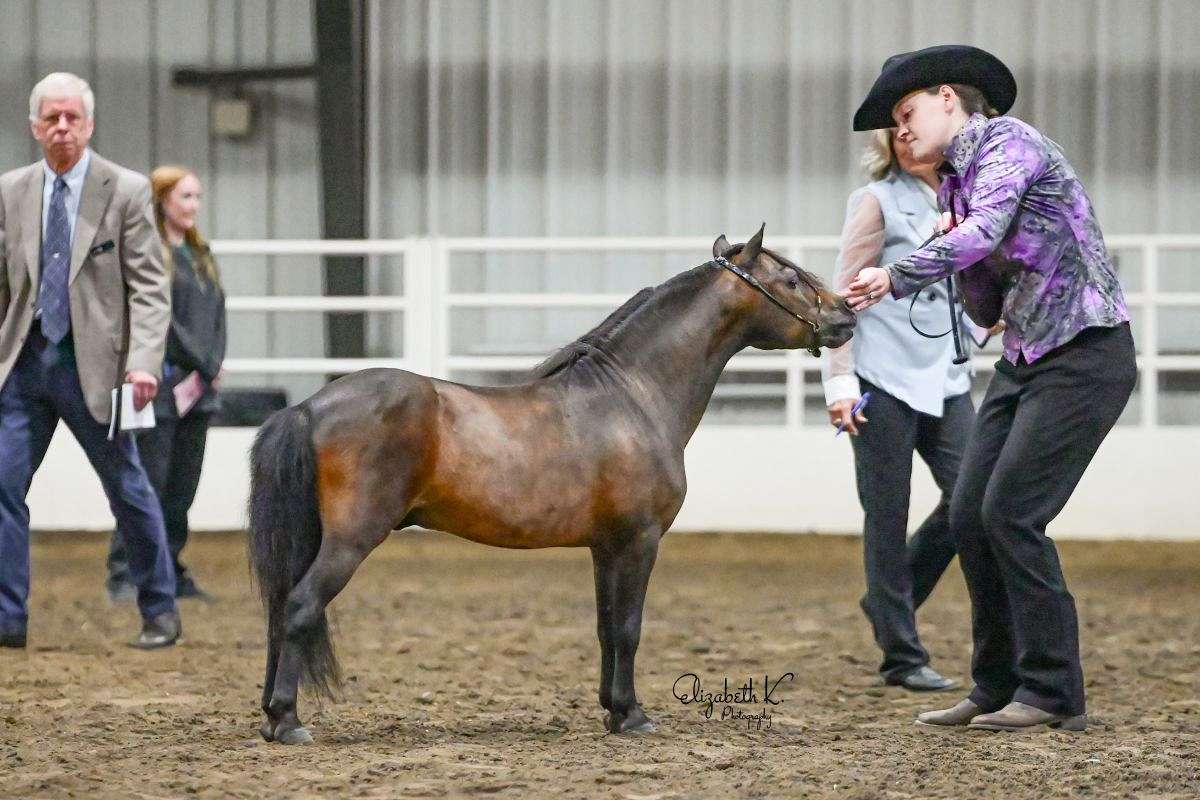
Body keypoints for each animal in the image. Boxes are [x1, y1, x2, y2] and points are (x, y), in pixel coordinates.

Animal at [248, 226, 856, 744]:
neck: (632, 394)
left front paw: (614, 710)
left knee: (279, 614)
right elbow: (630, 627)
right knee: (299, 605)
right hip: (352, 539)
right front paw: (634, 716)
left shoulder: (606, 547)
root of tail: (309, 407)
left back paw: (274, 717)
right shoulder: (639, 541)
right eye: (791, 280)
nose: (847, 313)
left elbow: (607, 627)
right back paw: (288, 721)